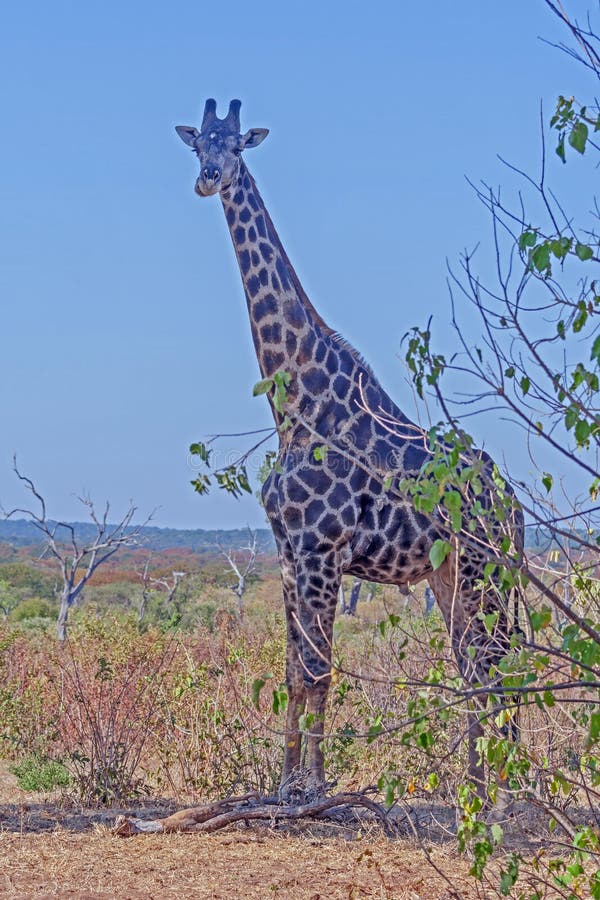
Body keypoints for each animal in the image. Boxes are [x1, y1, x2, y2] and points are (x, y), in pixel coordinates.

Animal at [176, 99, 524, 798]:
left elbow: (318, 670)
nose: (207, 178)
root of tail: (517, 507)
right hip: (449, 575)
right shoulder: (289, 552)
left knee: (493, 666)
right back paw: (476, 789)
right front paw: (285, 784)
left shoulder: (321, 549)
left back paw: (508, 793)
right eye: (198, 142)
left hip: (485, 569)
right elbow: (294, 671)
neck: (295, 403)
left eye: (237, 144)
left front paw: (313, 788)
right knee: (474, 667)